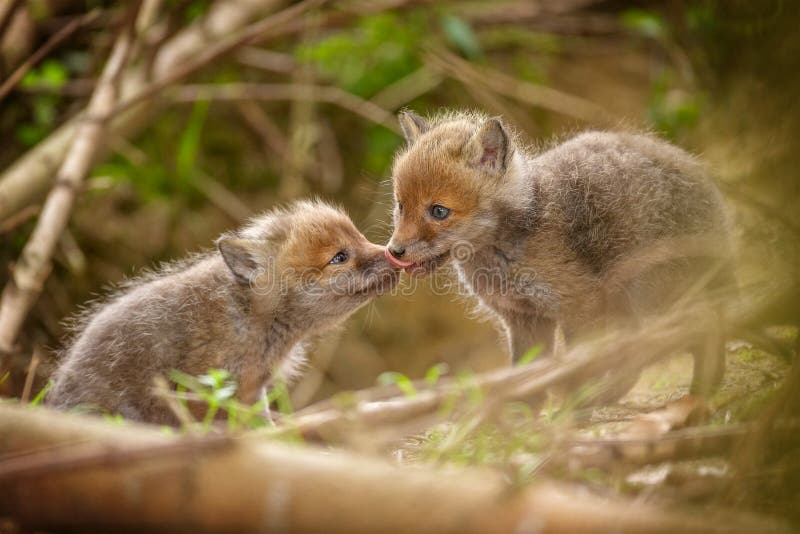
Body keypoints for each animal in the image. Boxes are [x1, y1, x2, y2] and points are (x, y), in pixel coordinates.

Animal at [48, 200, 399, 424]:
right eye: (339, 257)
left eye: (361, 237)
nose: (393, 255)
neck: (250, 321)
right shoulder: (209, 392)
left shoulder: (253, 391)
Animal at [385, 110, 734, 397]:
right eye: (401, 206)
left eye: (439, 211)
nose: (394, 251)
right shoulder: (523, 320)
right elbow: (526, 382)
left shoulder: (580, 307)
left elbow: (576, 371)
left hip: (643, 301)